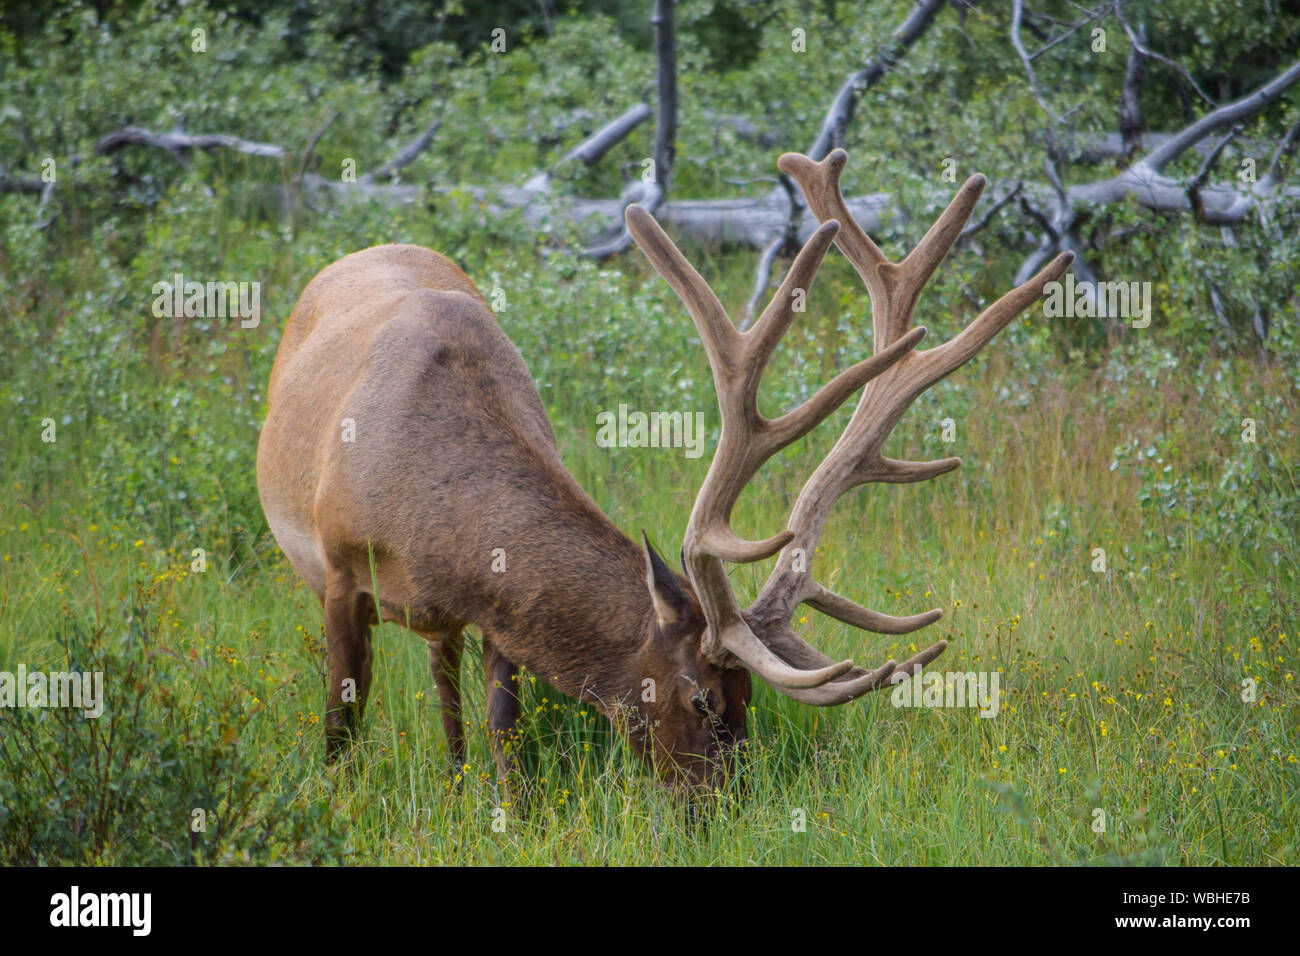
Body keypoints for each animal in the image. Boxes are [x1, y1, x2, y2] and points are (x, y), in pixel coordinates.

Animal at [256, 147, 1071, 794]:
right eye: (704, 699)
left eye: (749, 701)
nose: (723, 809)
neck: (425, 512)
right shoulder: (338, 577)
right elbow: (340, 726)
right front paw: (336, 803)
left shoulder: (496, 616)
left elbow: (506, 737)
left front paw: (506, 817)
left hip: (440, 627)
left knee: (443, 676)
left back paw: (456, 777)